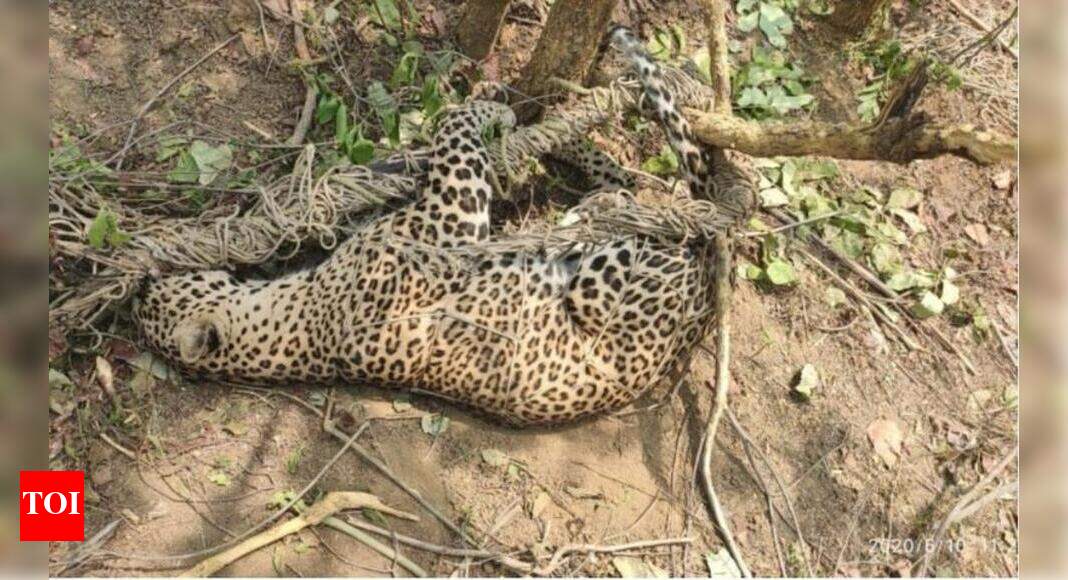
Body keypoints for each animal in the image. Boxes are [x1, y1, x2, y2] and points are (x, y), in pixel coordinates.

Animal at [133, 27, 727, 426]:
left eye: (159, 290)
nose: (138, 287)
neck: (297, 321)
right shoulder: (449, 217)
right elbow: (453, 135)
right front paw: (483, 111)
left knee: (623, 180)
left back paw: (563, 143)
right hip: (607, 290)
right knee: (628, 209)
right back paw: (588, 206)